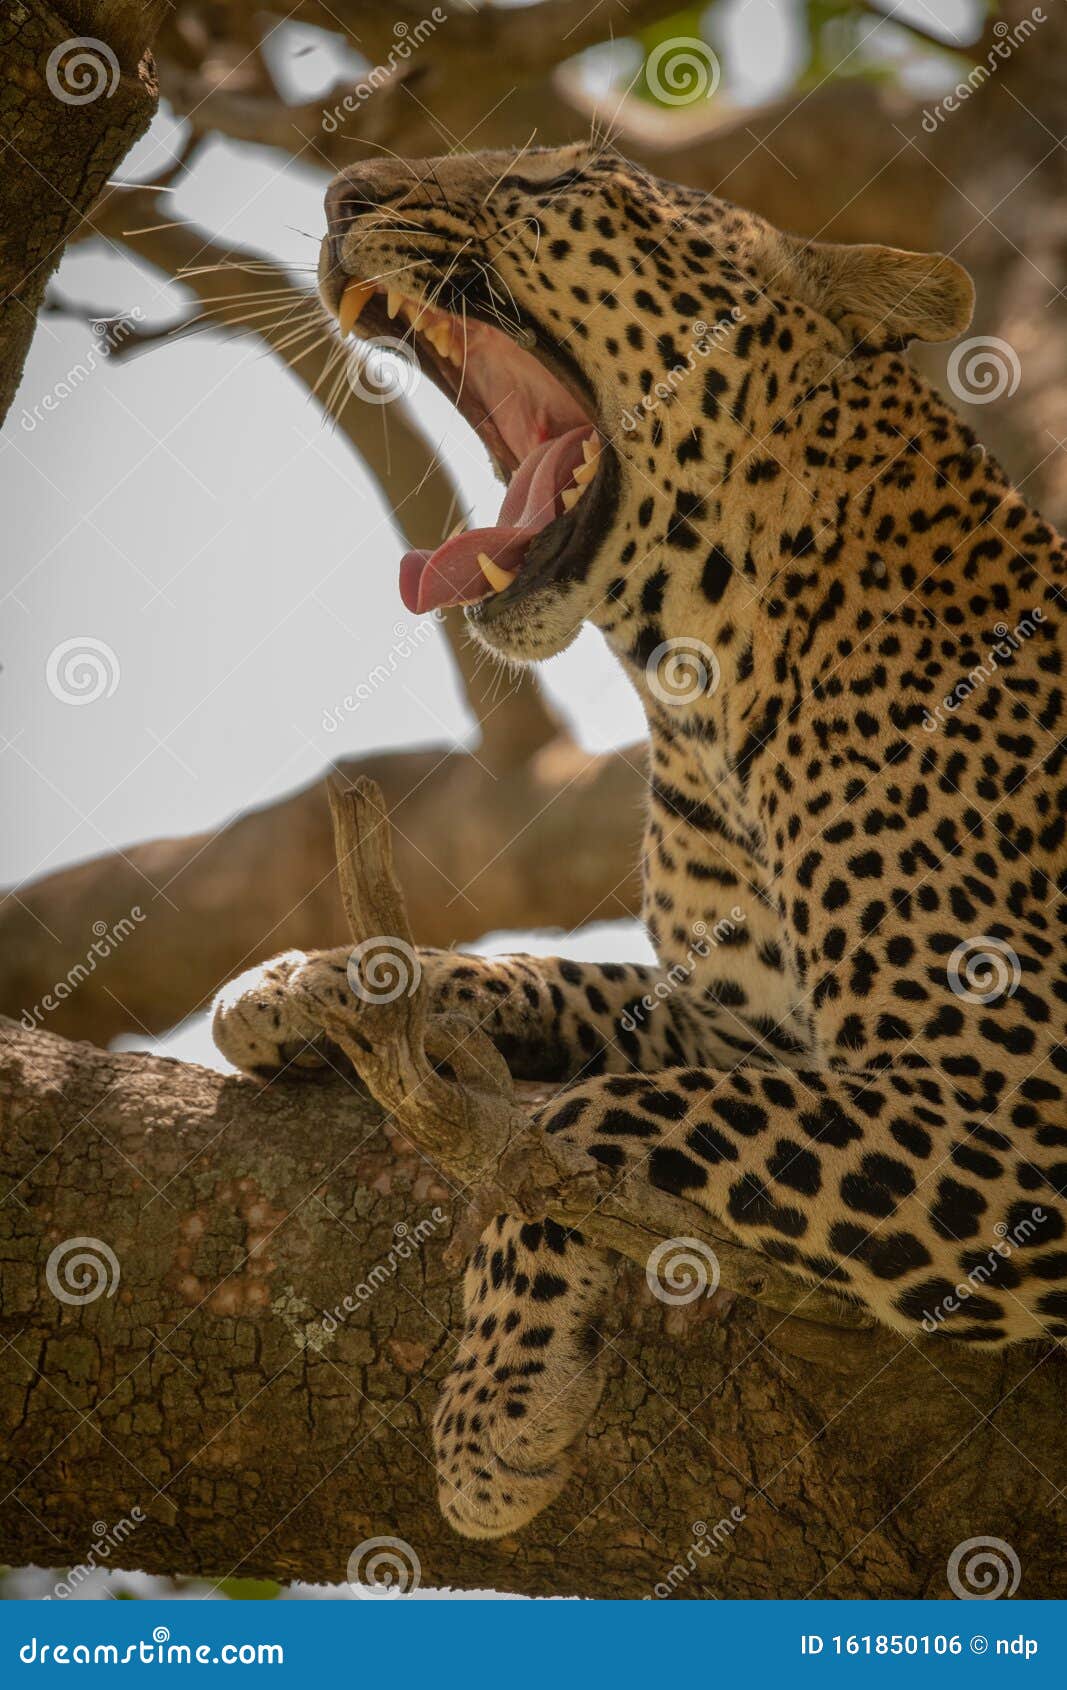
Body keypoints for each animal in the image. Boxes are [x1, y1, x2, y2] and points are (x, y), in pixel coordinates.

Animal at [213, 143, 1067, 1541]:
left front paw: (496, 1403)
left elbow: (587, 1118)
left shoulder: (1009, 1097)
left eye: (561, 181)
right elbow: (586, 999)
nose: (343, 195)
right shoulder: (755, 1026)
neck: (706, 695)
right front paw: (308, 983)